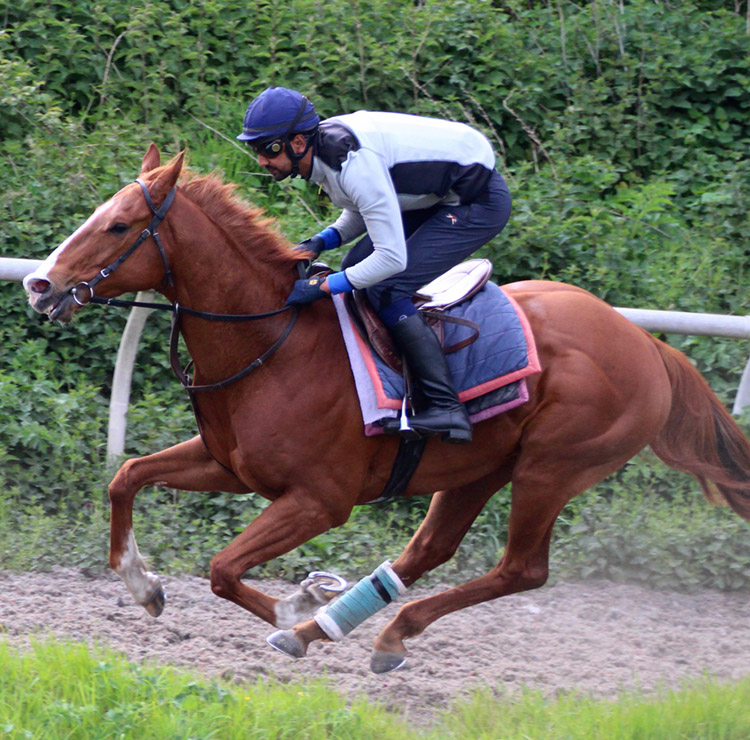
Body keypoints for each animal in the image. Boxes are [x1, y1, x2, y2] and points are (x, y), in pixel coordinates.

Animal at [23, 145, 750, 673]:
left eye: (119, 224)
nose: (39, 283)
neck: (272, 343)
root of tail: (648, 345)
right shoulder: (227, 464)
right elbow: (127, 477)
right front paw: (143, 586)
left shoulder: (320, 500)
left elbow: (224, 569)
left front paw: (291, 607)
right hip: (481, 464)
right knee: (429, 549)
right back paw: (367, 627)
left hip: (554, 468)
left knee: (522, 568)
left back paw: (339, 625)